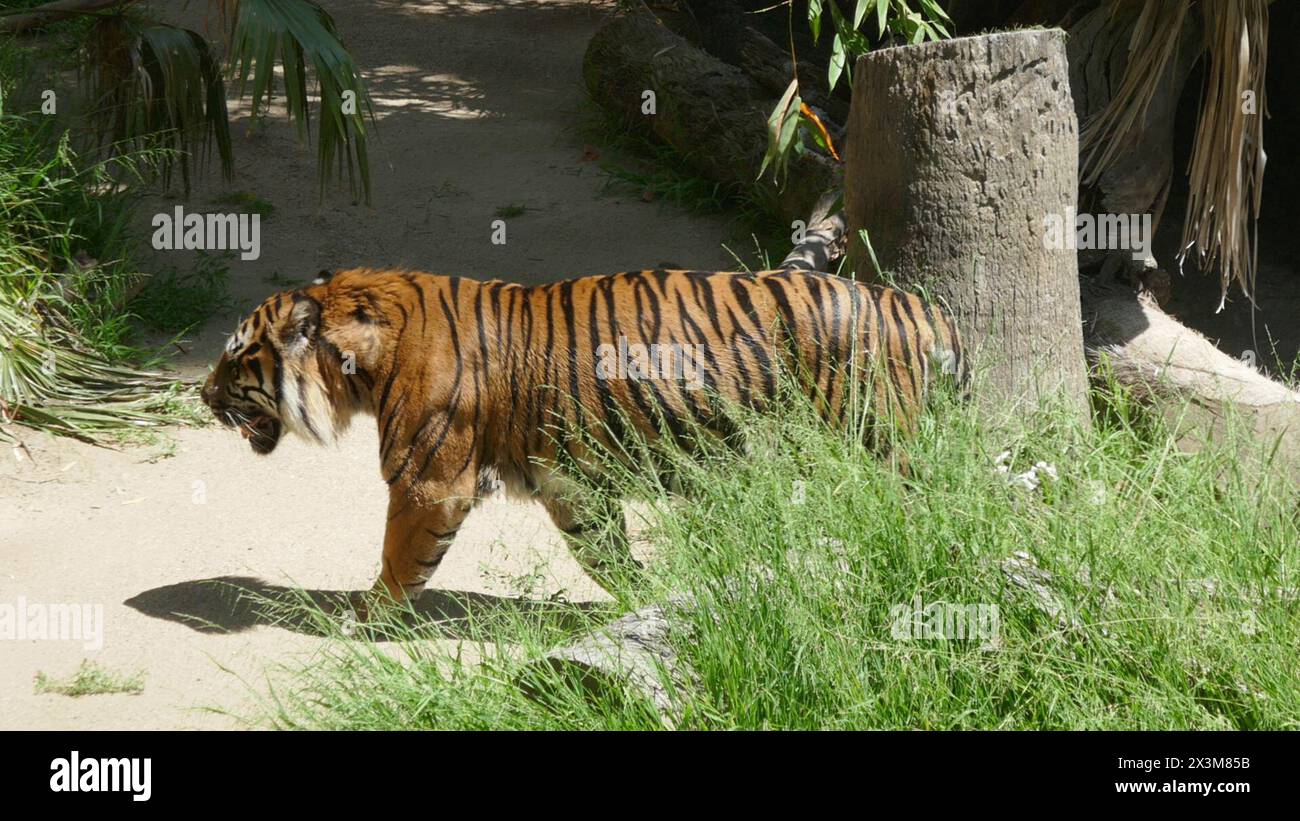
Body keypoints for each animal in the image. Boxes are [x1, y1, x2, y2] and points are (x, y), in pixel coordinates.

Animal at [201, 267, 967, 606]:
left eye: (237, 359)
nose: (202, 396)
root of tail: (924, 308)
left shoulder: (429, 481)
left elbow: (399, 561)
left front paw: (366, 620)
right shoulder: (572, 487)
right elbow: (608, 558)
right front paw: (646, 600)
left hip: (881, 447)